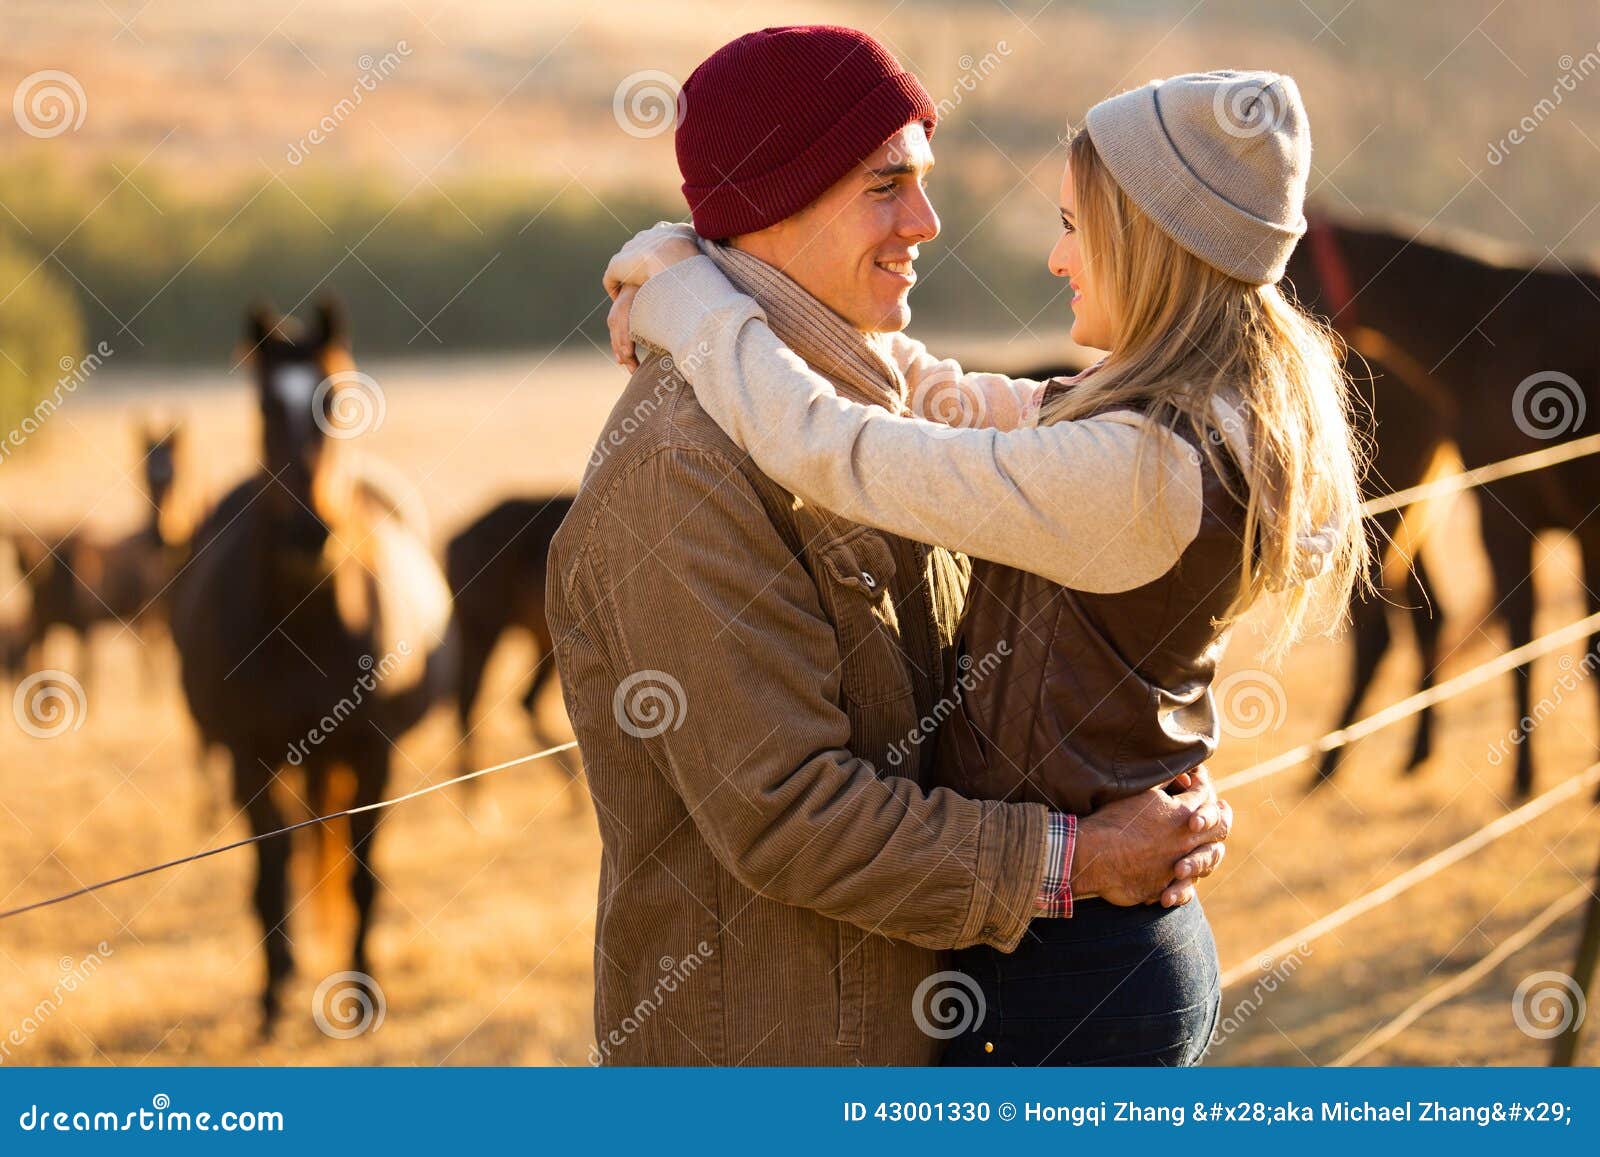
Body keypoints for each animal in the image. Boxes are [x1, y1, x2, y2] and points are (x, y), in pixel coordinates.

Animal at [169, 300, 456, 1031]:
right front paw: (273, 997)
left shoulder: (373, 754)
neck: (303, 621)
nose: (308, 530)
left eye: (338, 400)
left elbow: (362, 870)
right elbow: (270, 871)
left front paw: (362, 994)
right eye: (266, 405)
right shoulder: (249, 758)